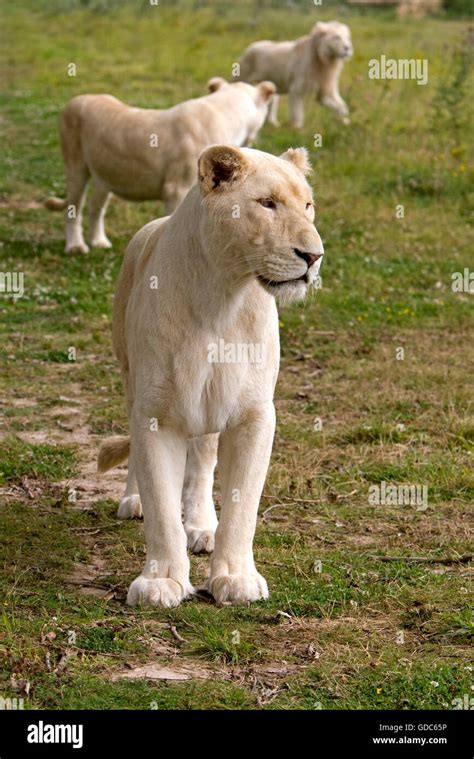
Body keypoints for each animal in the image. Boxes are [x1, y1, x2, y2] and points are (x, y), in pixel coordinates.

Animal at [44, 78, 276, 254]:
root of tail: (78, 98)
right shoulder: (175, 189)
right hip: (75, 166)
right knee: (74, 208)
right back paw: (76, 247)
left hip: (105, 175)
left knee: (96, 207)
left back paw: (99, 242)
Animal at [97, 144, 324, 607]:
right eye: (267, 204)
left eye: (308, 206)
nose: (313, 257)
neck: (222, 296)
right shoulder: (155, 412)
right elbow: (161, 505)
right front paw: (160, 582)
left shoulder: (253, 414)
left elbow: (242, 505)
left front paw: (235, 578)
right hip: (130, 379)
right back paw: (132, 499)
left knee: (202, 460)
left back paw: (202, 526)